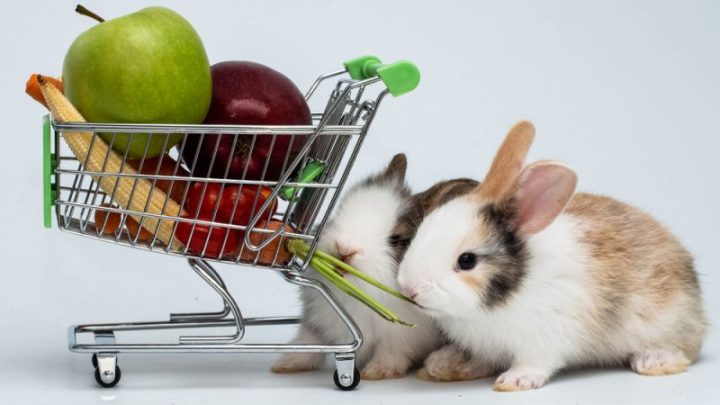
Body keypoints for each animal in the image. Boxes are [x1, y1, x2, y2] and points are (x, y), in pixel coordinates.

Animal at [272, 154, 470, 380]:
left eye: (395, 239)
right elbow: (308, 342)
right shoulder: (318, 320)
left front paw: (378, 371)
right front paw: (287, 364)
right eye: (340, 211)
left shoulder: (402, 336)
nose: (344, 248)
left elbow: (391, 352)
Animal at [397, 121, 708, 391]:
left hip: (669, 321)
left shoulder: (543, 340)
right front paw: (442, 364)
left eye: (467, 261)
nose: (408, 288)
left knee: (687, 348)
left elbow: (536, 362)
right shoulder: (486, 347)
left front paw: (515, 381)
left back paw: (654, 360)